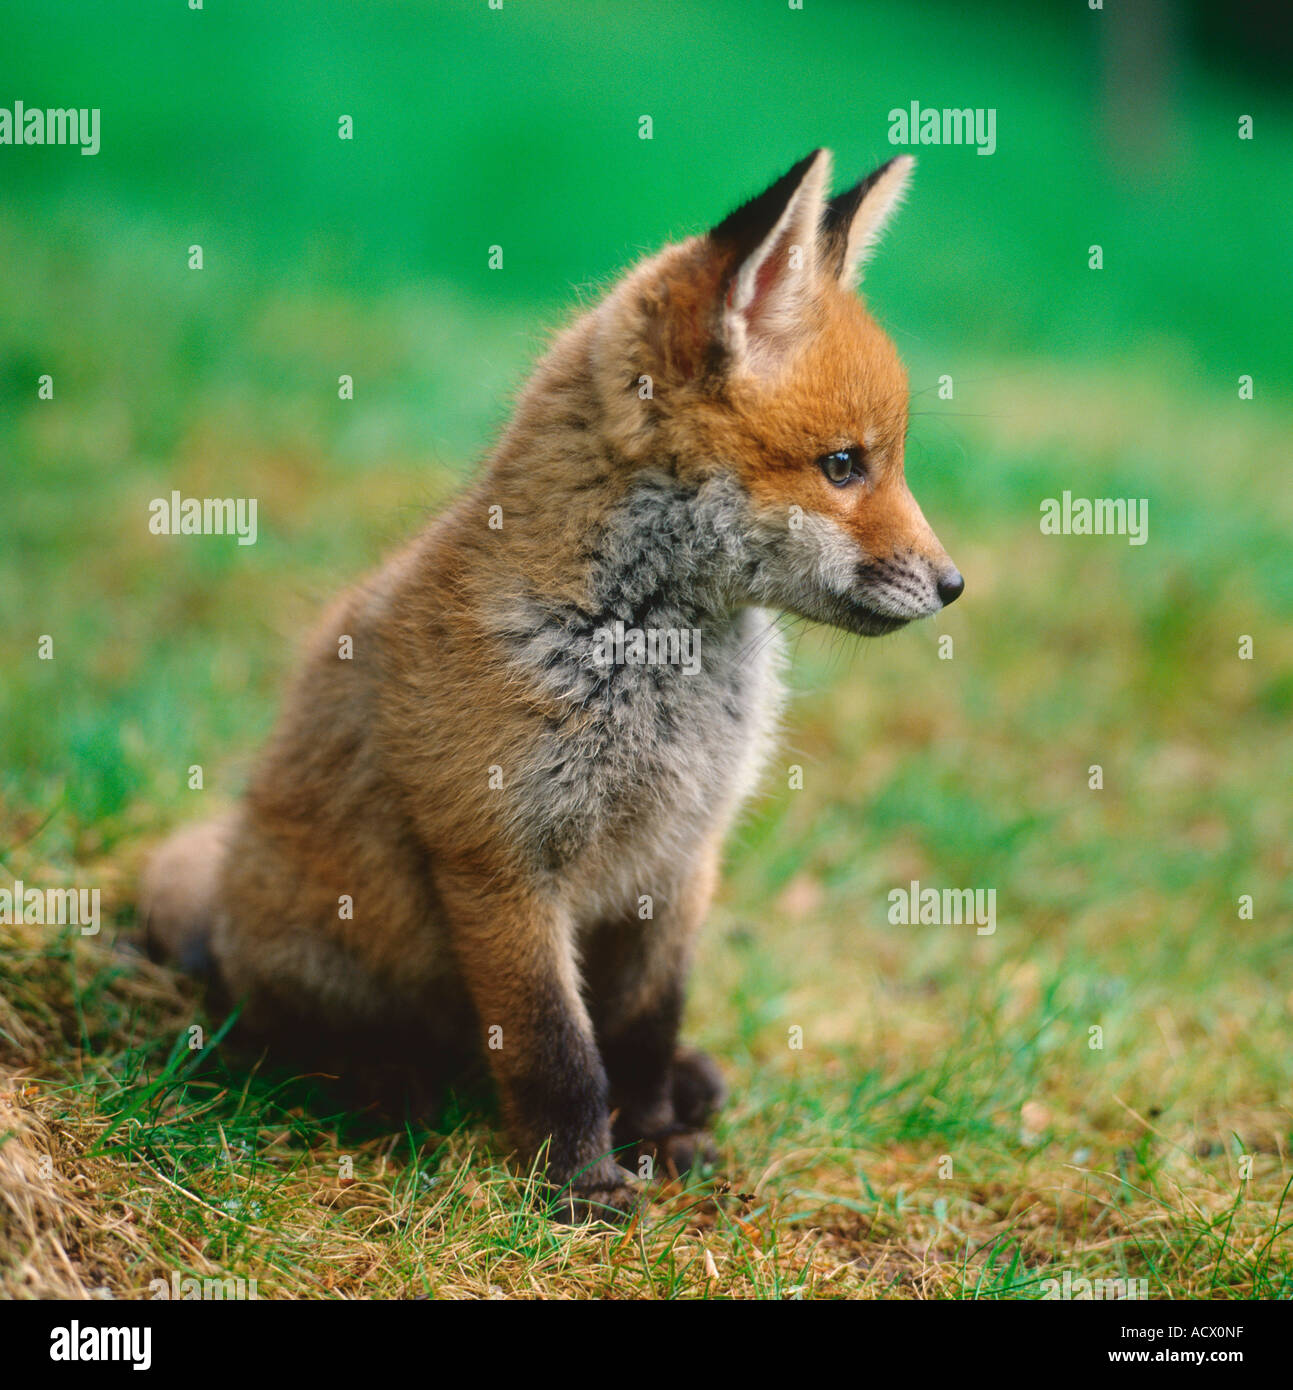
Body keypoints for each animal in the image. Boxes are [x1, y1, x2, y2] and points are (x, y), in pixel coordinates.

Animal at [141, 148, 963, 1221]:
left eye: (884, 464)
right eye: (842, 466)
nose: (952, 585)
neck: (650, 661)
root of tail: (223, 911)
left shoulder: (678, 858)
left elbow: (645, 1023)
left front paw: (655, 1135)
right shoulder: (500, 859)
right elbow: (555, 1048)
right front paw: (579, 1182)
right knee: (312, 1044)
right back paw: (385, 1084)